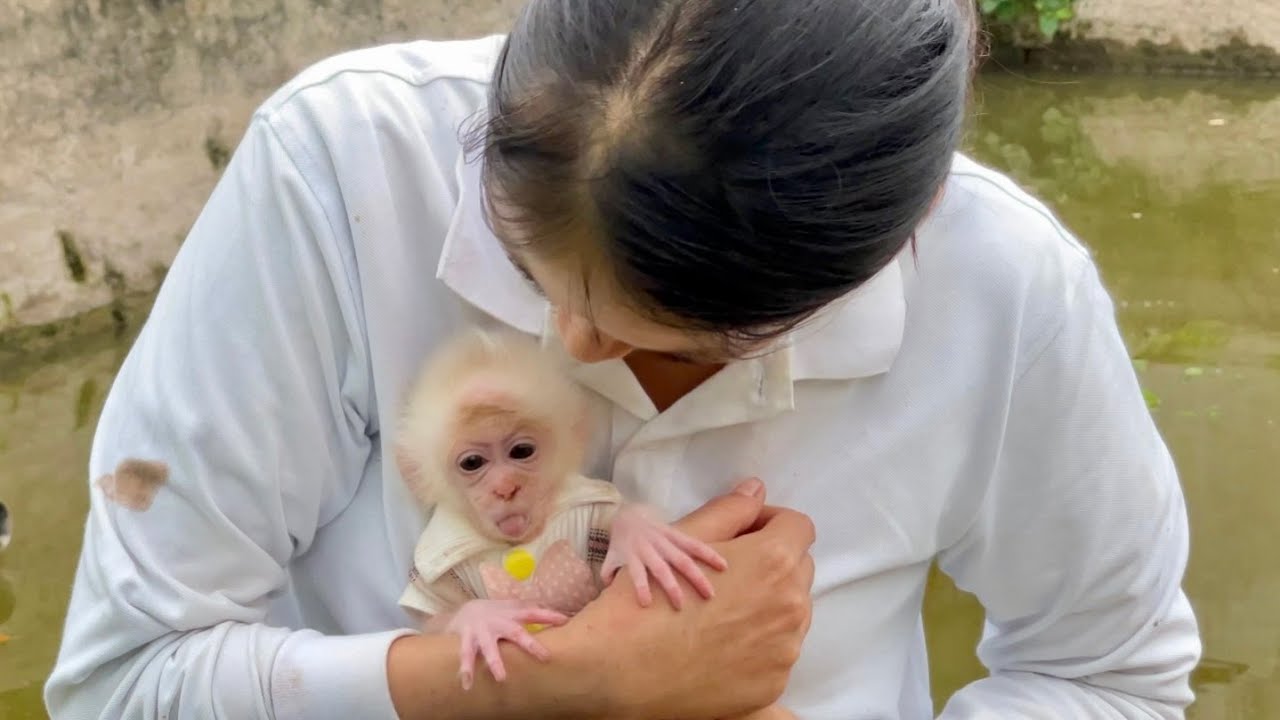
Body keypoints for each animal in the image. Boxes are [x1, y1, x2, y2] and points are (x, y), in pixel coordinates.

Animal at [394, 326, 728, 690]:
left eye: (521, 451)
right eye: (472, 463)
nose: (505, 488)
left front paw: (639, 534)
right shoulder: (435, 572)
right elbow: (434, 622)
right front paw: (480, 618)